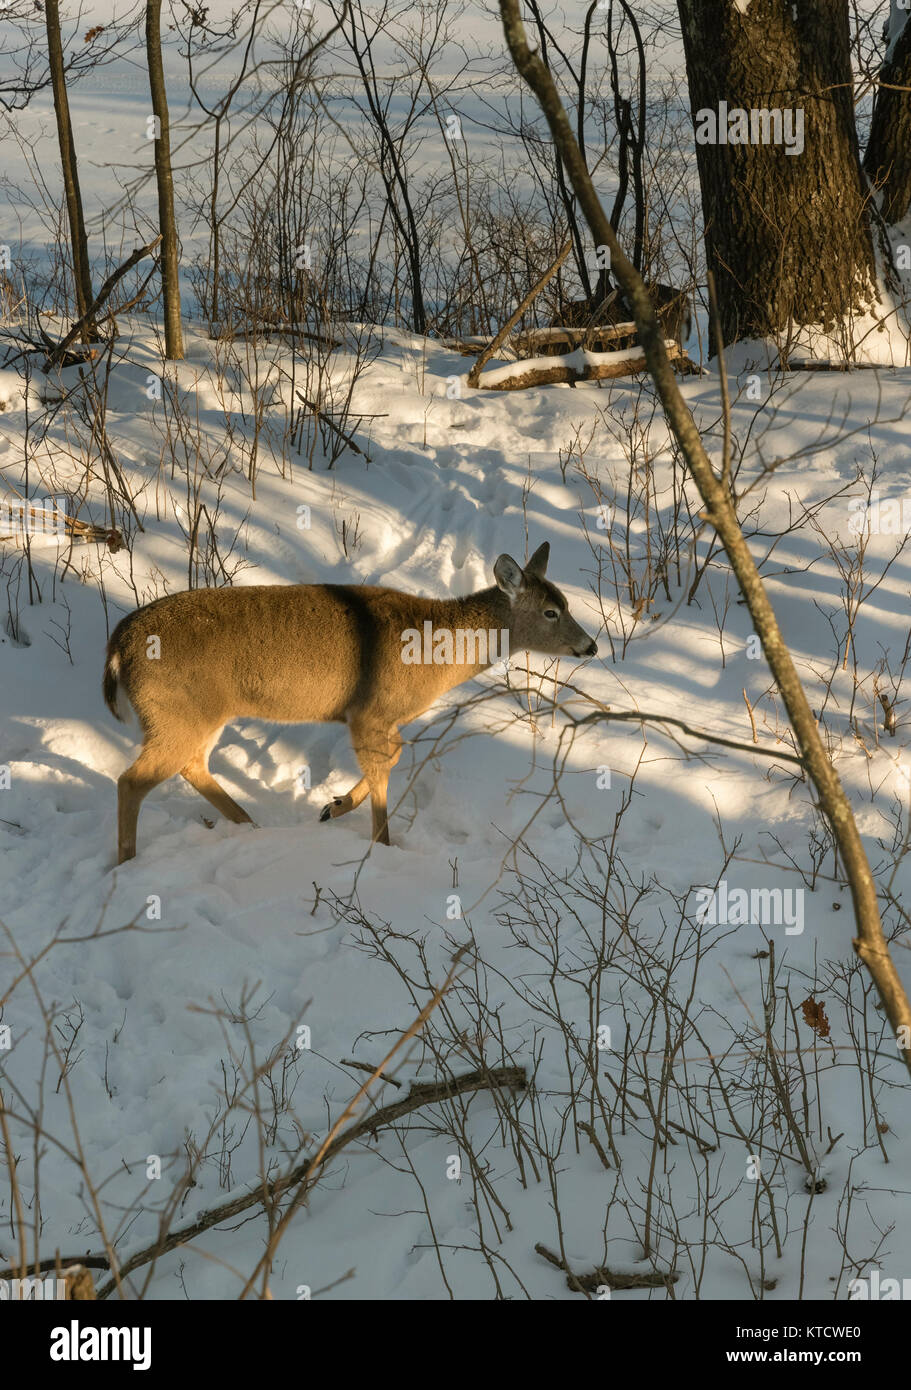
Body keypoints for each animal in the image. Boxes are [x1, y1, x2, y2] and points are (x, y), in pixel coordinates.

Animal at [102, 543, 598, 864]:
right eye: (551, 611)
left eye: (566, 602)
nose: (590, 646)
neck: (435, 653)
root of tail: (118, 645)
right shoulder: (368, 710)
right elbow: (384, 767)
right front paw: (382, 846)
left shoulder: (378, 719)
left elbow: (391, 758)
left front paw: (332, 806)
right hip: (177, 711)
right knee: (132, 781)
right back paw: (127, 864)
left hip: (195, 715)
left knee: (191, 765)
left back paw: (250, 826)